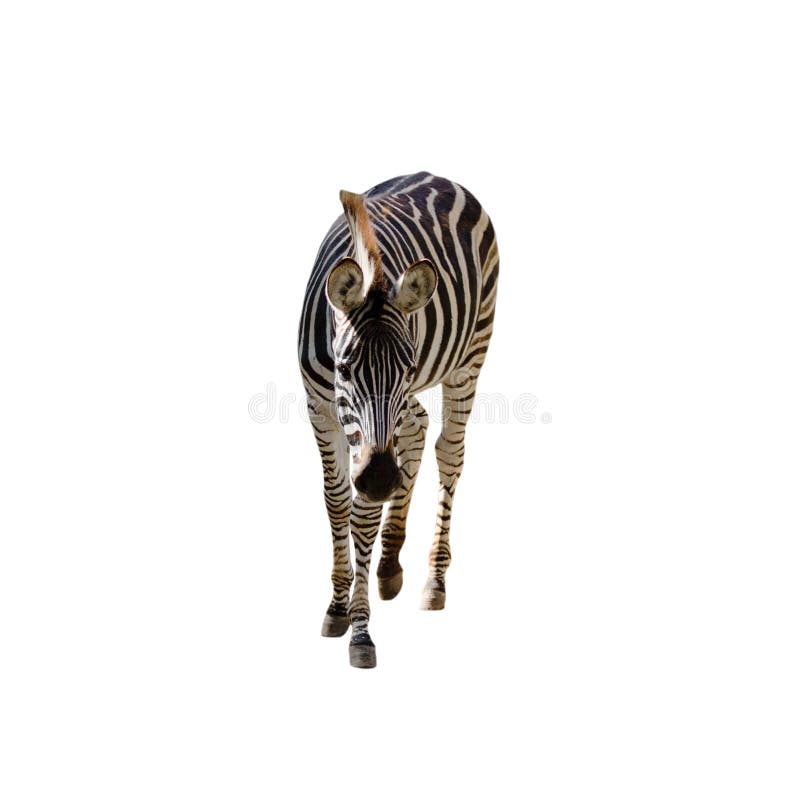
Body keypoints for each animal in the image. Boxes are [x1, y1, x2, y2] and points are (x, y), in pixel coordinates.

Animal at [297, 172, 499, 668]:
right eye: (345, 368)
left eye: (406, 367)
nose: (380, 478)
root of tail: (441, 177)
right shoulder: (319, 408)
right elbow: (336, 502)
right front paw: (337, 607)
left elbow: (361, 516)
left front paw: (360, 629)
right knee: (419, 427)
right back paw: (389, 563)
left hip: (471, 354)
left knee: (449, 451)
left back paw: (434, 580)